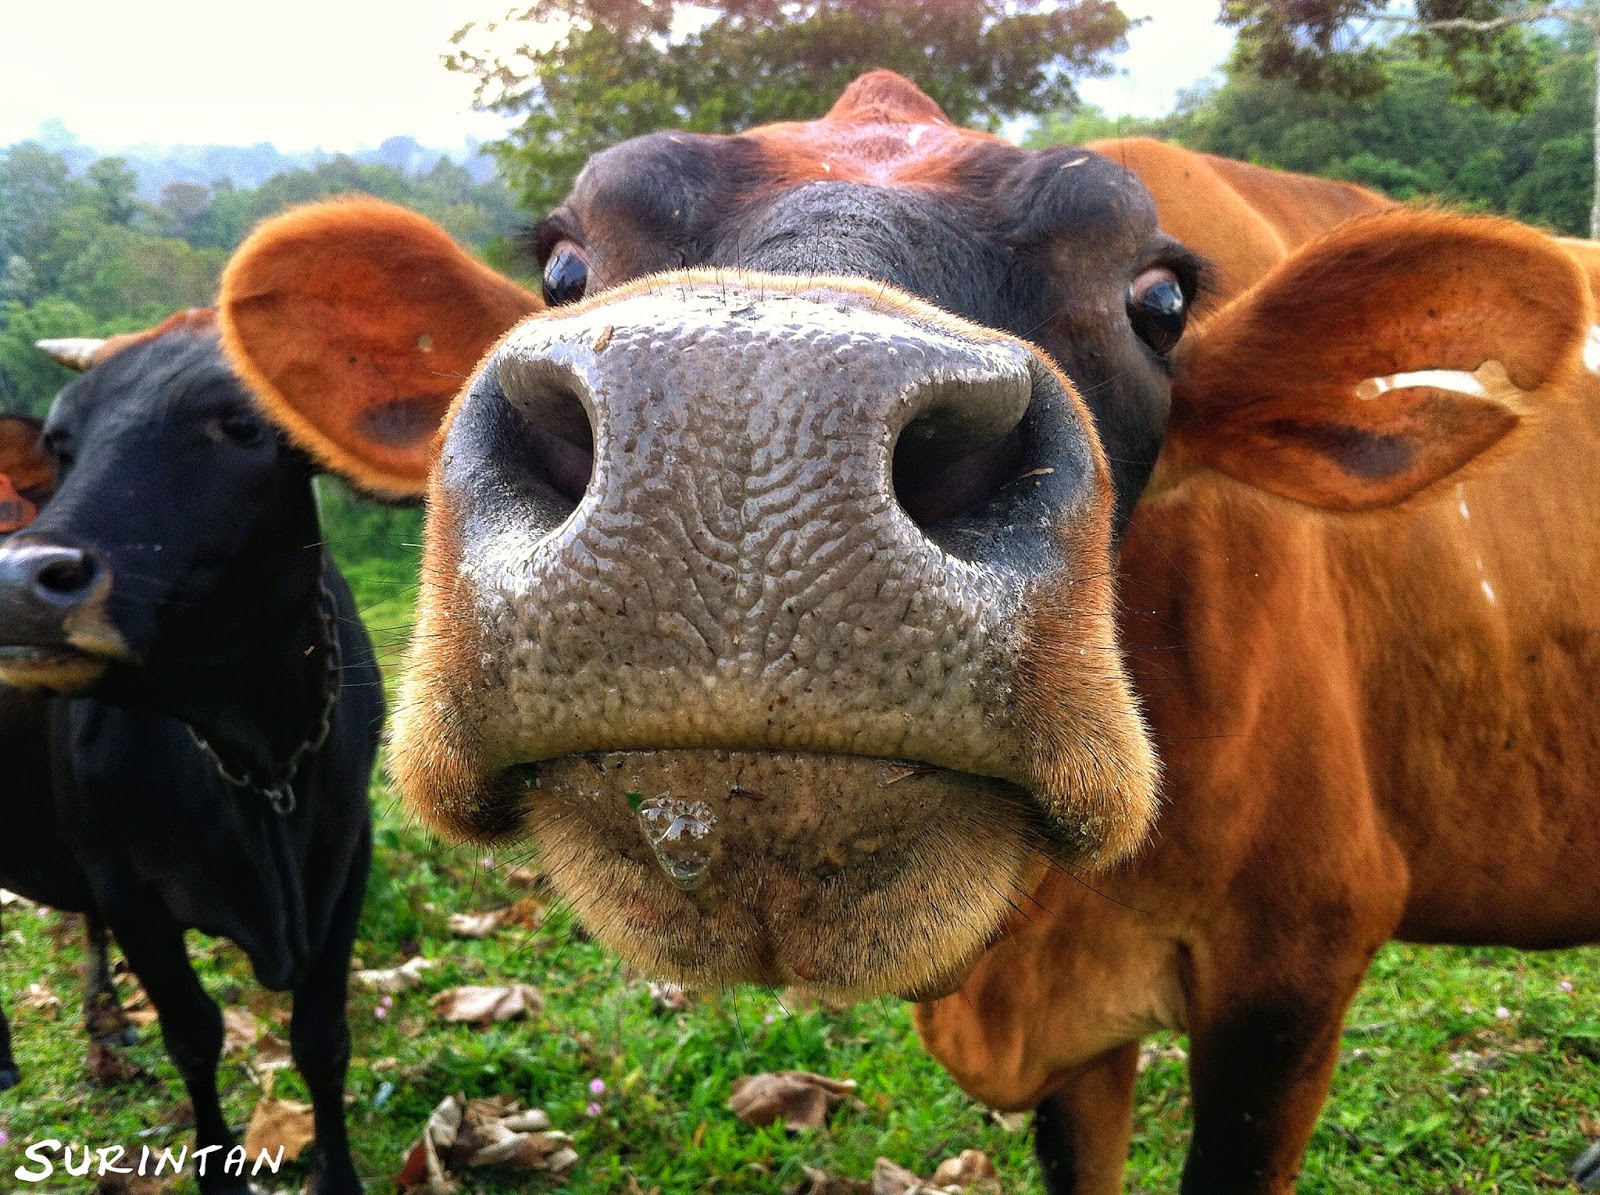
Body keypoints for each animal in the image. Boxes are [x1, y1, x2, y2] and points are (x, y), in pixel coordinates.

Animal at [0, 311, 382, 1195]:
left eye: (241, 426)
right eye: (62, 443)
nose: (19, 584)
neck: (260, 756)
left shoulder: (349, 850)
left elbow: (322, 1037)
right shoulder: (129, 885)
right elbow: (195, 1034)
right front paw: (219, 1172)